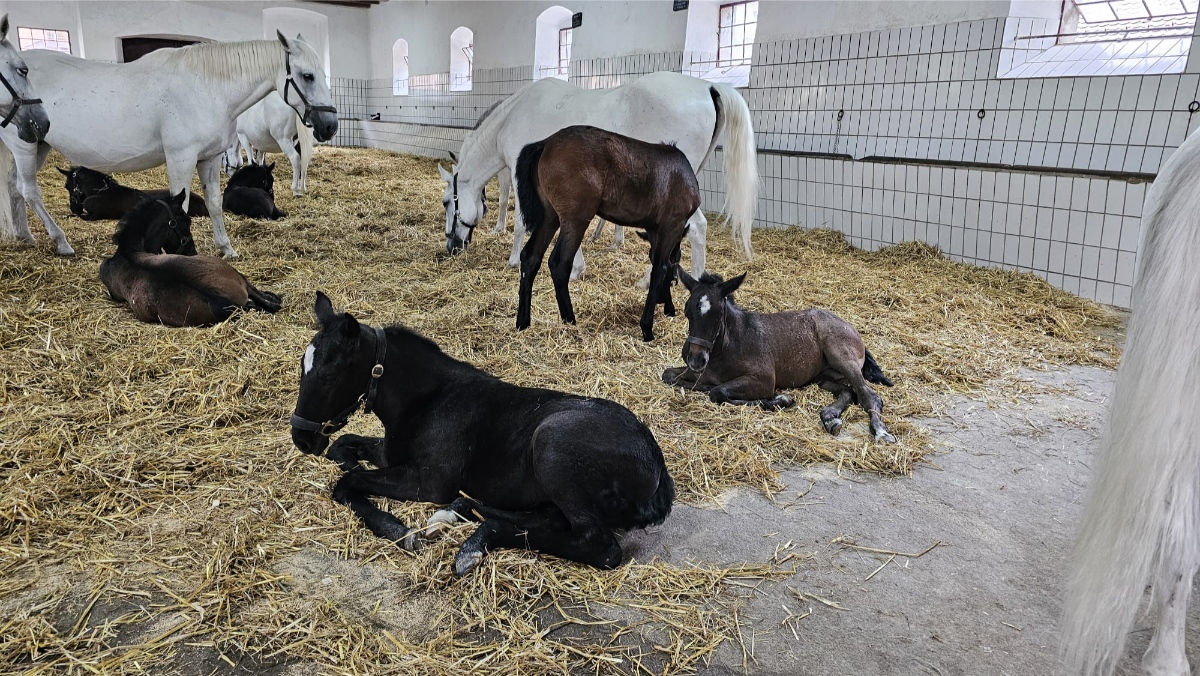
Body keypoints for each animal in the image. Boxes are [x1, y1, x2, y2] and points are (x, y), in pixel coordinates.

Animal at [290, 291, 675, 575]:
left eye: (329, 376)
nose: (302, 439)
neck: (429, 401)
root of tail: (656, 465)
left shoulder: (428, 483)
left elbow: (346, 483)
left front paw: (398, 531)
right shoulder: (389, 453)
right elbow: (344, 447)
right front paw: (347, 460)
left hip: (551, 445)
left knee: (597, 546)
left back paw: (470, 543)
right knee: (544, 517)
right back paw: (458, 514)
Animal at [439, 71, 758, 284]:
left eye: (446, 203)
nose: (451, 247)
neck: (512, 118)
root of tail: (710, 87)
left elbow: (521, 222)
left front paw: (515, 261)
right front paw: (576, 268)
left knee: (695, 228)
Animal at [513, 126, 699, 342]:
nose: (666, 305)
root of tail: (545, 144)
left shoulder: (654, 230)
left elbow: (660, 263)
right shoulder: (672, 227)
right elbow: (661, 268)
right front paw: (647, 327)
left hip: (550, 216)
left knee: (530, 257)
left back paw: (523, 322)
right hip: (575, 219)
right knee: (559, 263)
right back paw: (570, 320)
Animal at [661, 269, 897, 443]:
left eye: (719, 314)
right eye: (687, 311)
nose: (695, 359)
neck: (728, 344)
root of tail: (852, 328)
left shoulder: (764, 379)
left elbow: (717, 392)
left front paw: (779, 400)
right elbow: (669, 376)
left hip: (842, 356)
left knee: (868, 395)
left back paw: (881, 432)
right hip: (823, 376)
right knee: (848, 392)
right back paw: (830, 419)